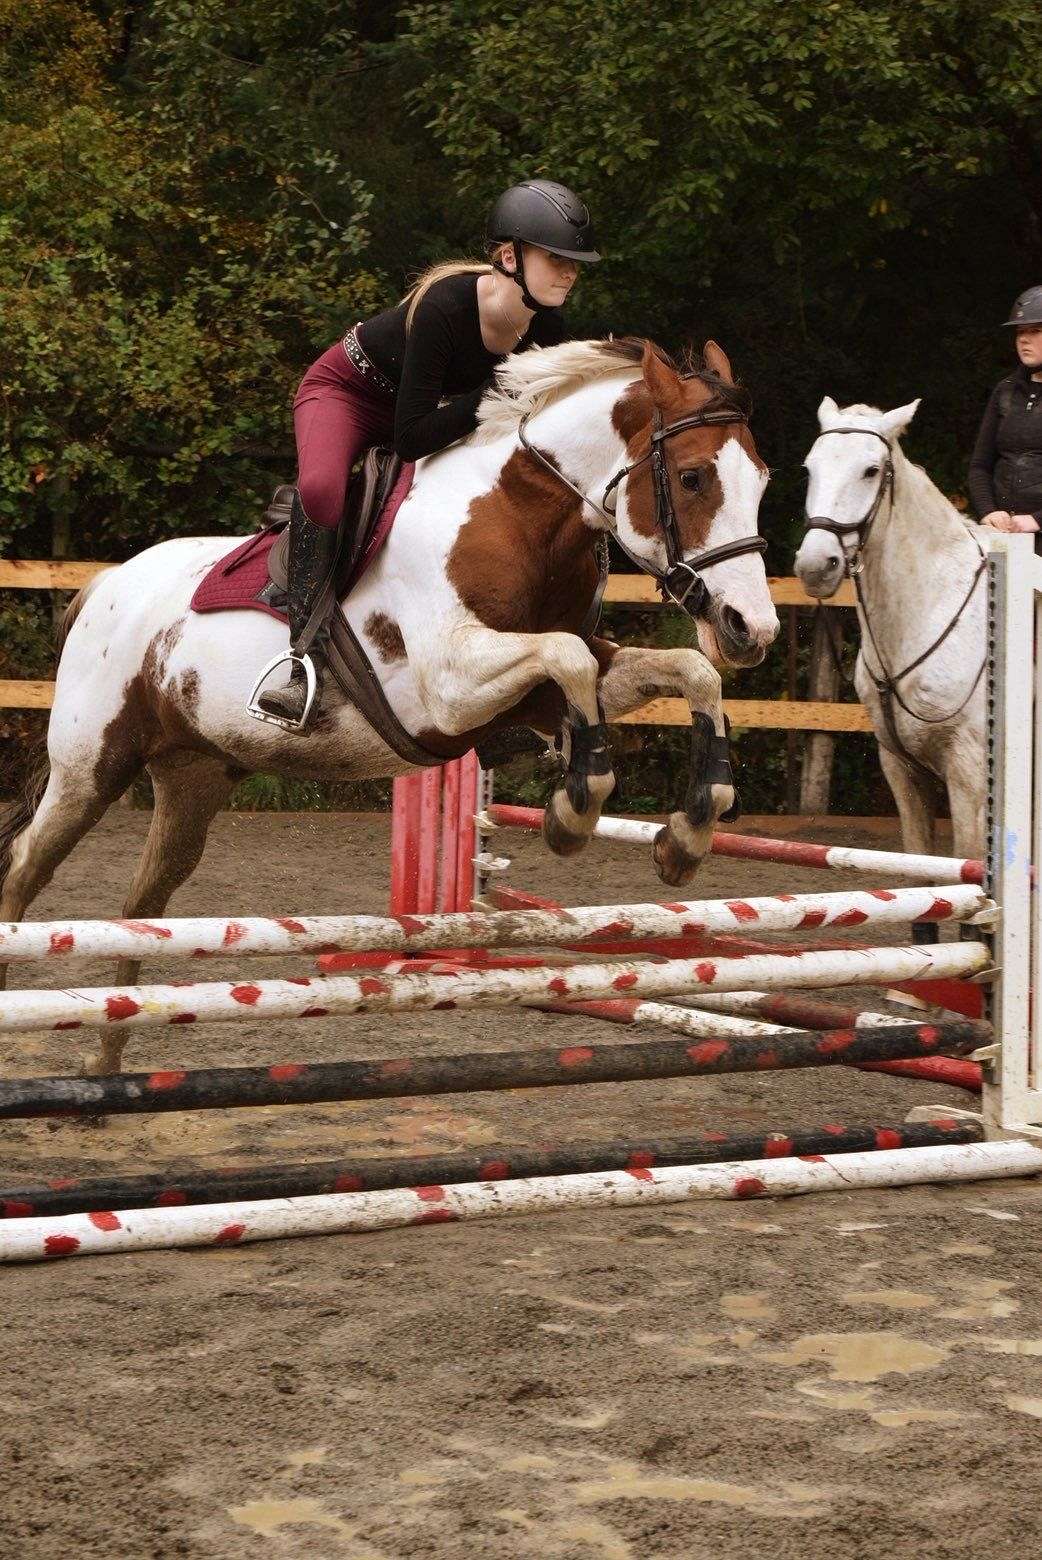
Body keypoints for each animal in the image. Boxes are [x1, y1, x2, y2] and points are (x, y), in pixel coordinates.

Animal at [0, 336, 779, 1074]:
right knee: (25, 870)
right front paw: (575, 807)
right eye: (693, 477)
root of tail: (104, 584)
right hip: (90, 769)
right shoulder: (453, 687)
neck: (517, 517)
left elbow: (685, 671)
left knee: (142, 907)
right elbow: (570, 656)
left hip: (193, 776)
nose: (751, 628)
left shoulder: (531, 698)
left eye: (763, 479)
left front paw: (688, 832)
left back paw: (106, 1069)